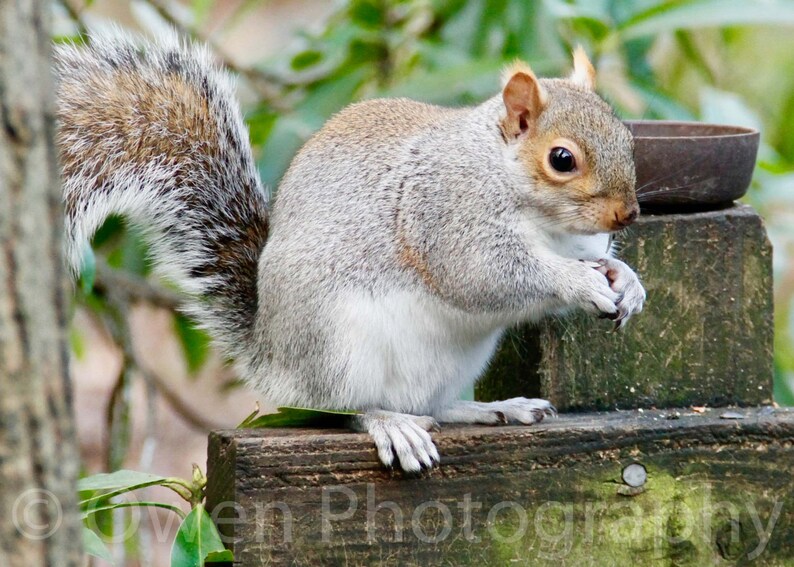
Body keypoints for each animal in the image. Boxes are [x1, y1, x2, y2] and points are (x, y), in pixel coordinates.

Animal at [55, 33, 645, 473]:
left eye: (627, 138)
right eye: (562, 159)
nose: (627, 214)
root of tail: (273, 355)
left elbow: (598, 260)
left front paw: (627, 281)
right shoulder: (447, 214)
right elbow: (484, 274)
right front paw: (579, 282)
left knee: (433, 405)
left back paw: (493, 408)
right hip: (339, 342)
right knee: (345, 408)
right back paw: (391, 425)